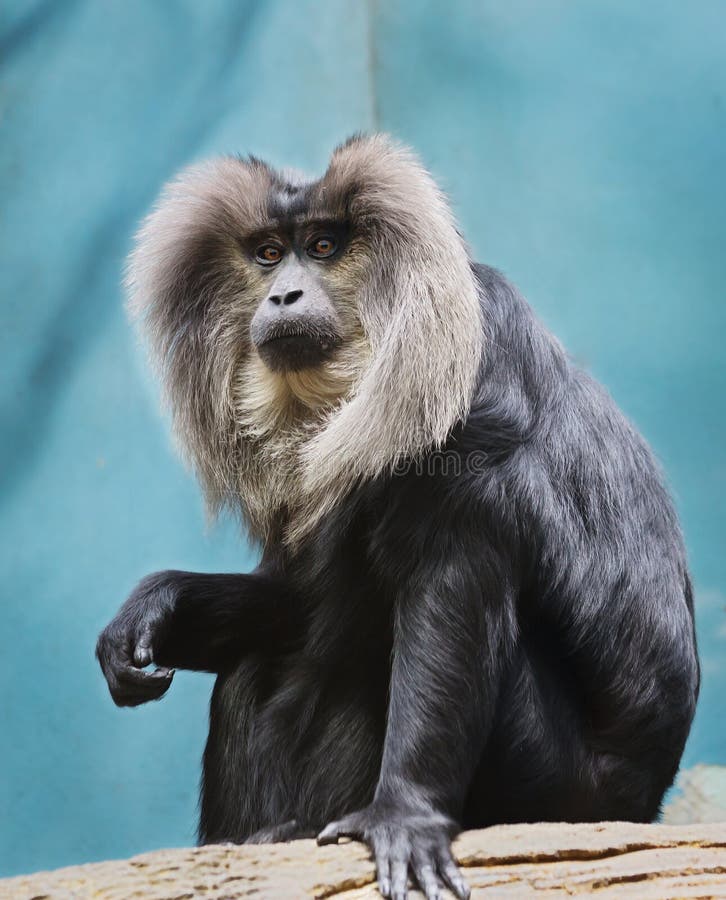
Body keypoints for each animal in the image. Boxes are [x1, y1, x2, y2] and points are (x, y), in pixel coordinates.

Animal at [96, 134, 699, 900]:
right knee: (261, 655)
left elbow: (451, 591)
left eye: (324, 246)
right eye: (268, 253)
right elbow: (300, 598)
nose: (284, 295)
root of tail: (637, 805)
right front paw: (155, 608)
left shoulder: (467, 397)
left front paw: (403, 815)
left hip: (559, 786)